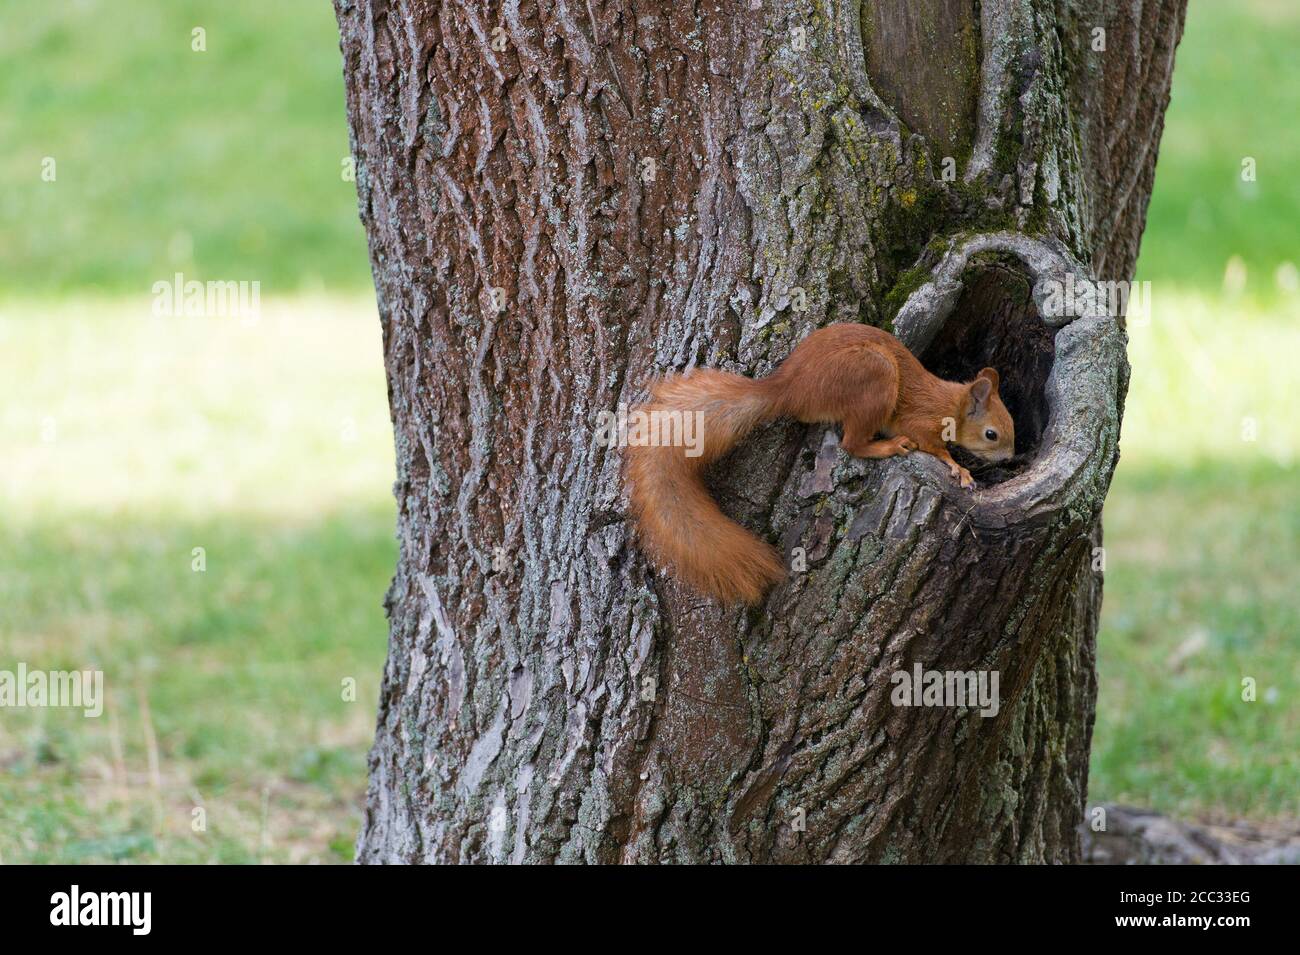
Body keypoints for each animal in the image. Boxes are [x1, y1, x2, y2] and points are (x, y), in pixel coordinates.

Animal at [625, 322, 1015, 605]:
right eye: (992, 434)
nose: (1011, 458)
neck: (951, 405)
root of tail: (789, 390)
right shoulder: (921, 421)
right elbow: (934, 447)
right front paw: (959, 469)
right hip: (872, 378)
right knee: (852, 444)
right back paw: (887, 446)